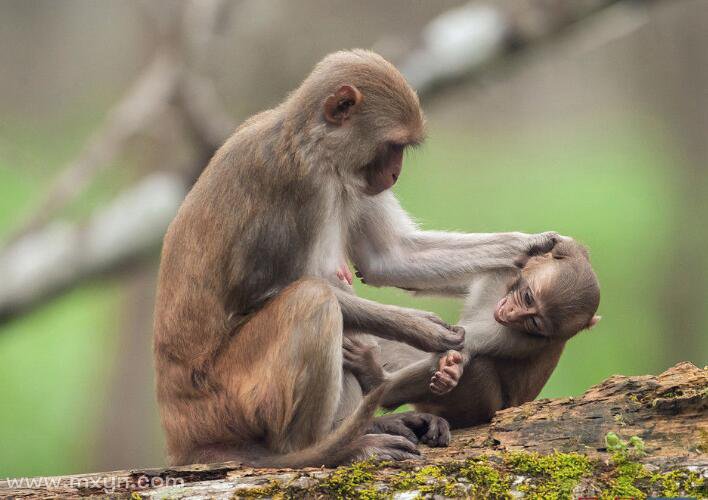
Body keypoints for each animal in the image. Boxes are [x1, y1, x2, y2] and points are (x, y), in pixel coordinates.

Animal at [153, 48, 560, 466]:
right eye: (392, 146)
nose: (395, 174)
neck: (314, 146)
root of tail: (183, 433)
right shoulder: (296, 181)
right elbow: (261, 293)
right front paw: (422, 328)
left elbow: (389, 258)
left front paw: (529, 246)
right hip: (230, 401)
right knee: (313, 299)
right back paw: (327, 447)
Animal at [354, 238, 596, 430]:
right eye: (528, 298)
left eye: (534, 322)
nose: (511, 314)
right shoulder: (502, 273)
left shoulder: (515, 336)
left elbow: (462, 348)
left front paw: (451, 370)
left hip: (479, 409)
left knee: (478, 366)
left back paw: (375, 380)